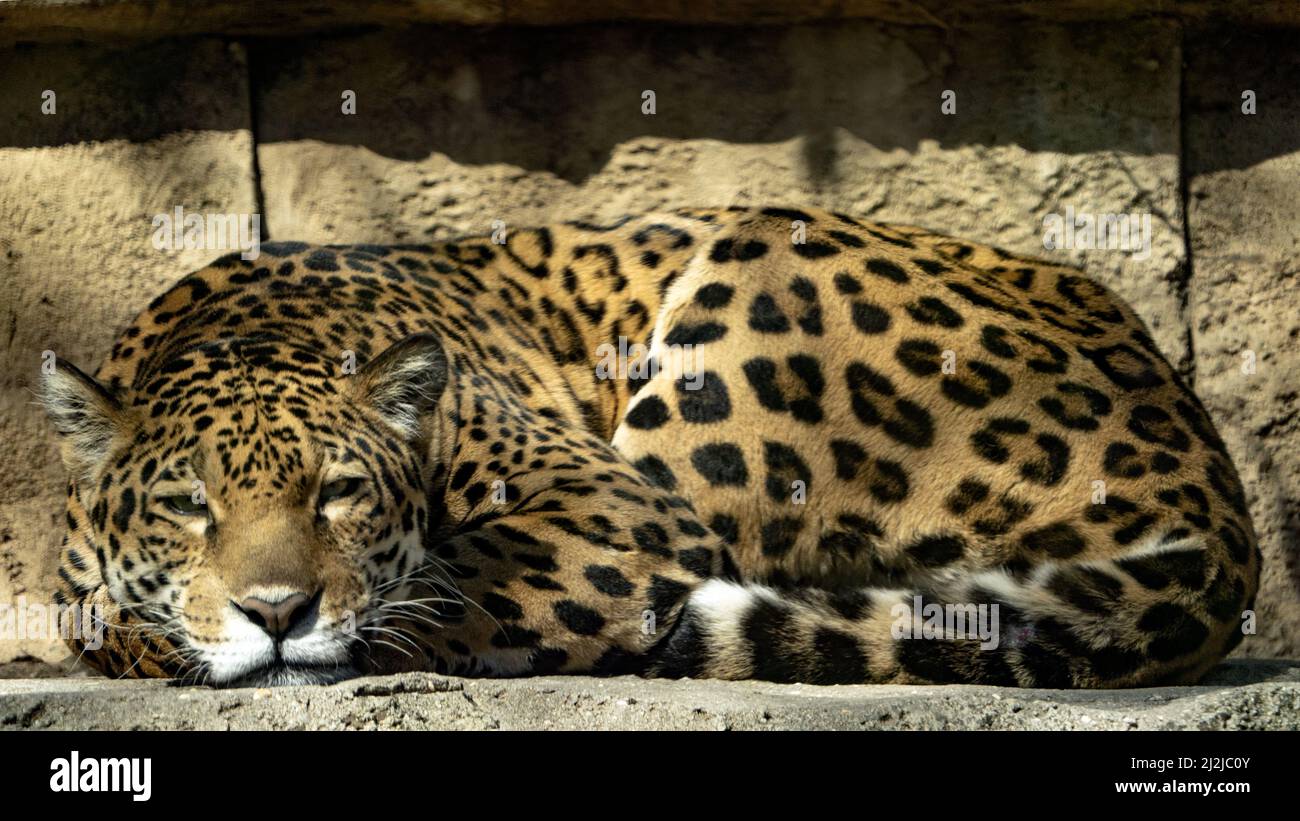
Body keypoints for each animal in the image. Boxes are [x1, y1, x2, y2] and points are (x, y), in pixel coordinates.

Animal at [40, 205, 1260, 688]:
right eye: (188, 506)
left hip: (760, 278)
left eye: (339, 493)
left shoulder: (608, 513)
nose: (278, 611)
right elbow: (91, 613)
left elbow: (439, 588)